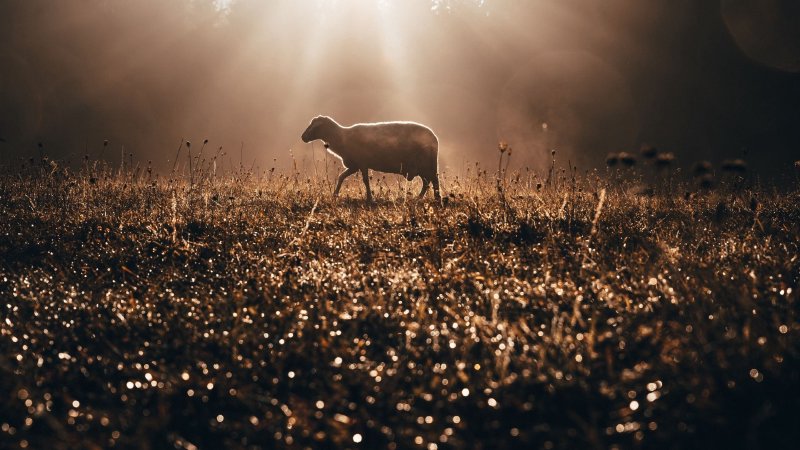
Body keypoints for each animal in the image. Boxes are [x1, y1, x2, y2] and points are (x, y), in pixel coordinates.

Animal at [301, 115, 441, 202]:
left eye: (315, 126)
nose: (302, 137)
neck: (341, 138)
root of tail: (434, 138)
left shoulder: (362, 163)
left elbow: (365, 181)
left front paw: (369, 198)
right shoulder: (354, 165)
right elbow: (341, 177)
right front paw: (335, 195)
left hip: (425, 164)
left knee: (433, 180)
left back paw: (437, 198)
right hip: (420, 166)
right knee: (427, 182)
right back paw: (420, 198)